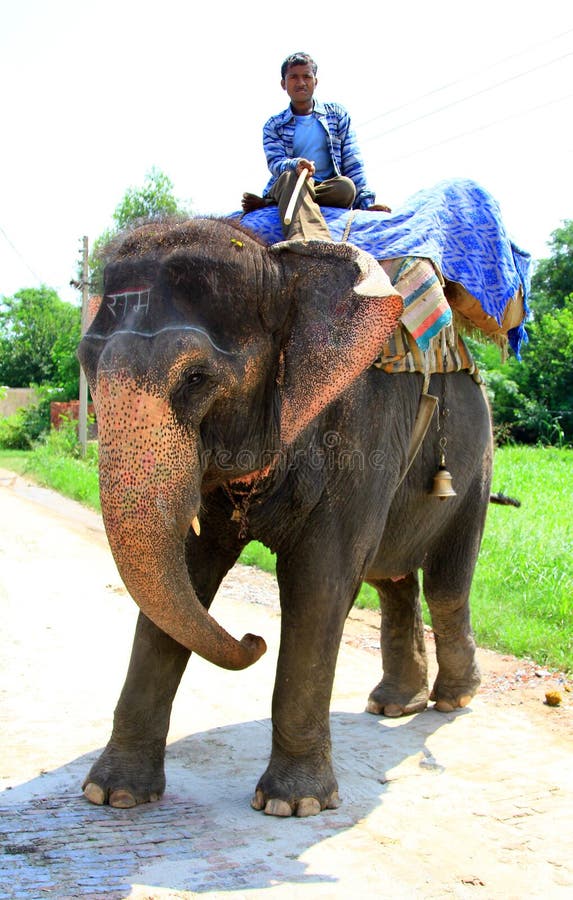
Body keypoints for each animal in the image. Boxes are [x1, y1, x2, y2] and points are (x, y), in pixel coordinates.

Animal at [78, 217, 493, 818]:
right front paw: (113, 795)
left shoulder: (360, 429)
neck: (280, 268)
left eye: (196, 378)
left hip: (476, 461)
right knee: (391, 578)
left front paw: (293, 806)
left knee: (443, 583)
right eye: (87, 366)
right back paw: (395, 706)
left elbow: (318, 581)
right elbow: (188, 574)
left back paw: (453, 700)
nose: (254, 638)